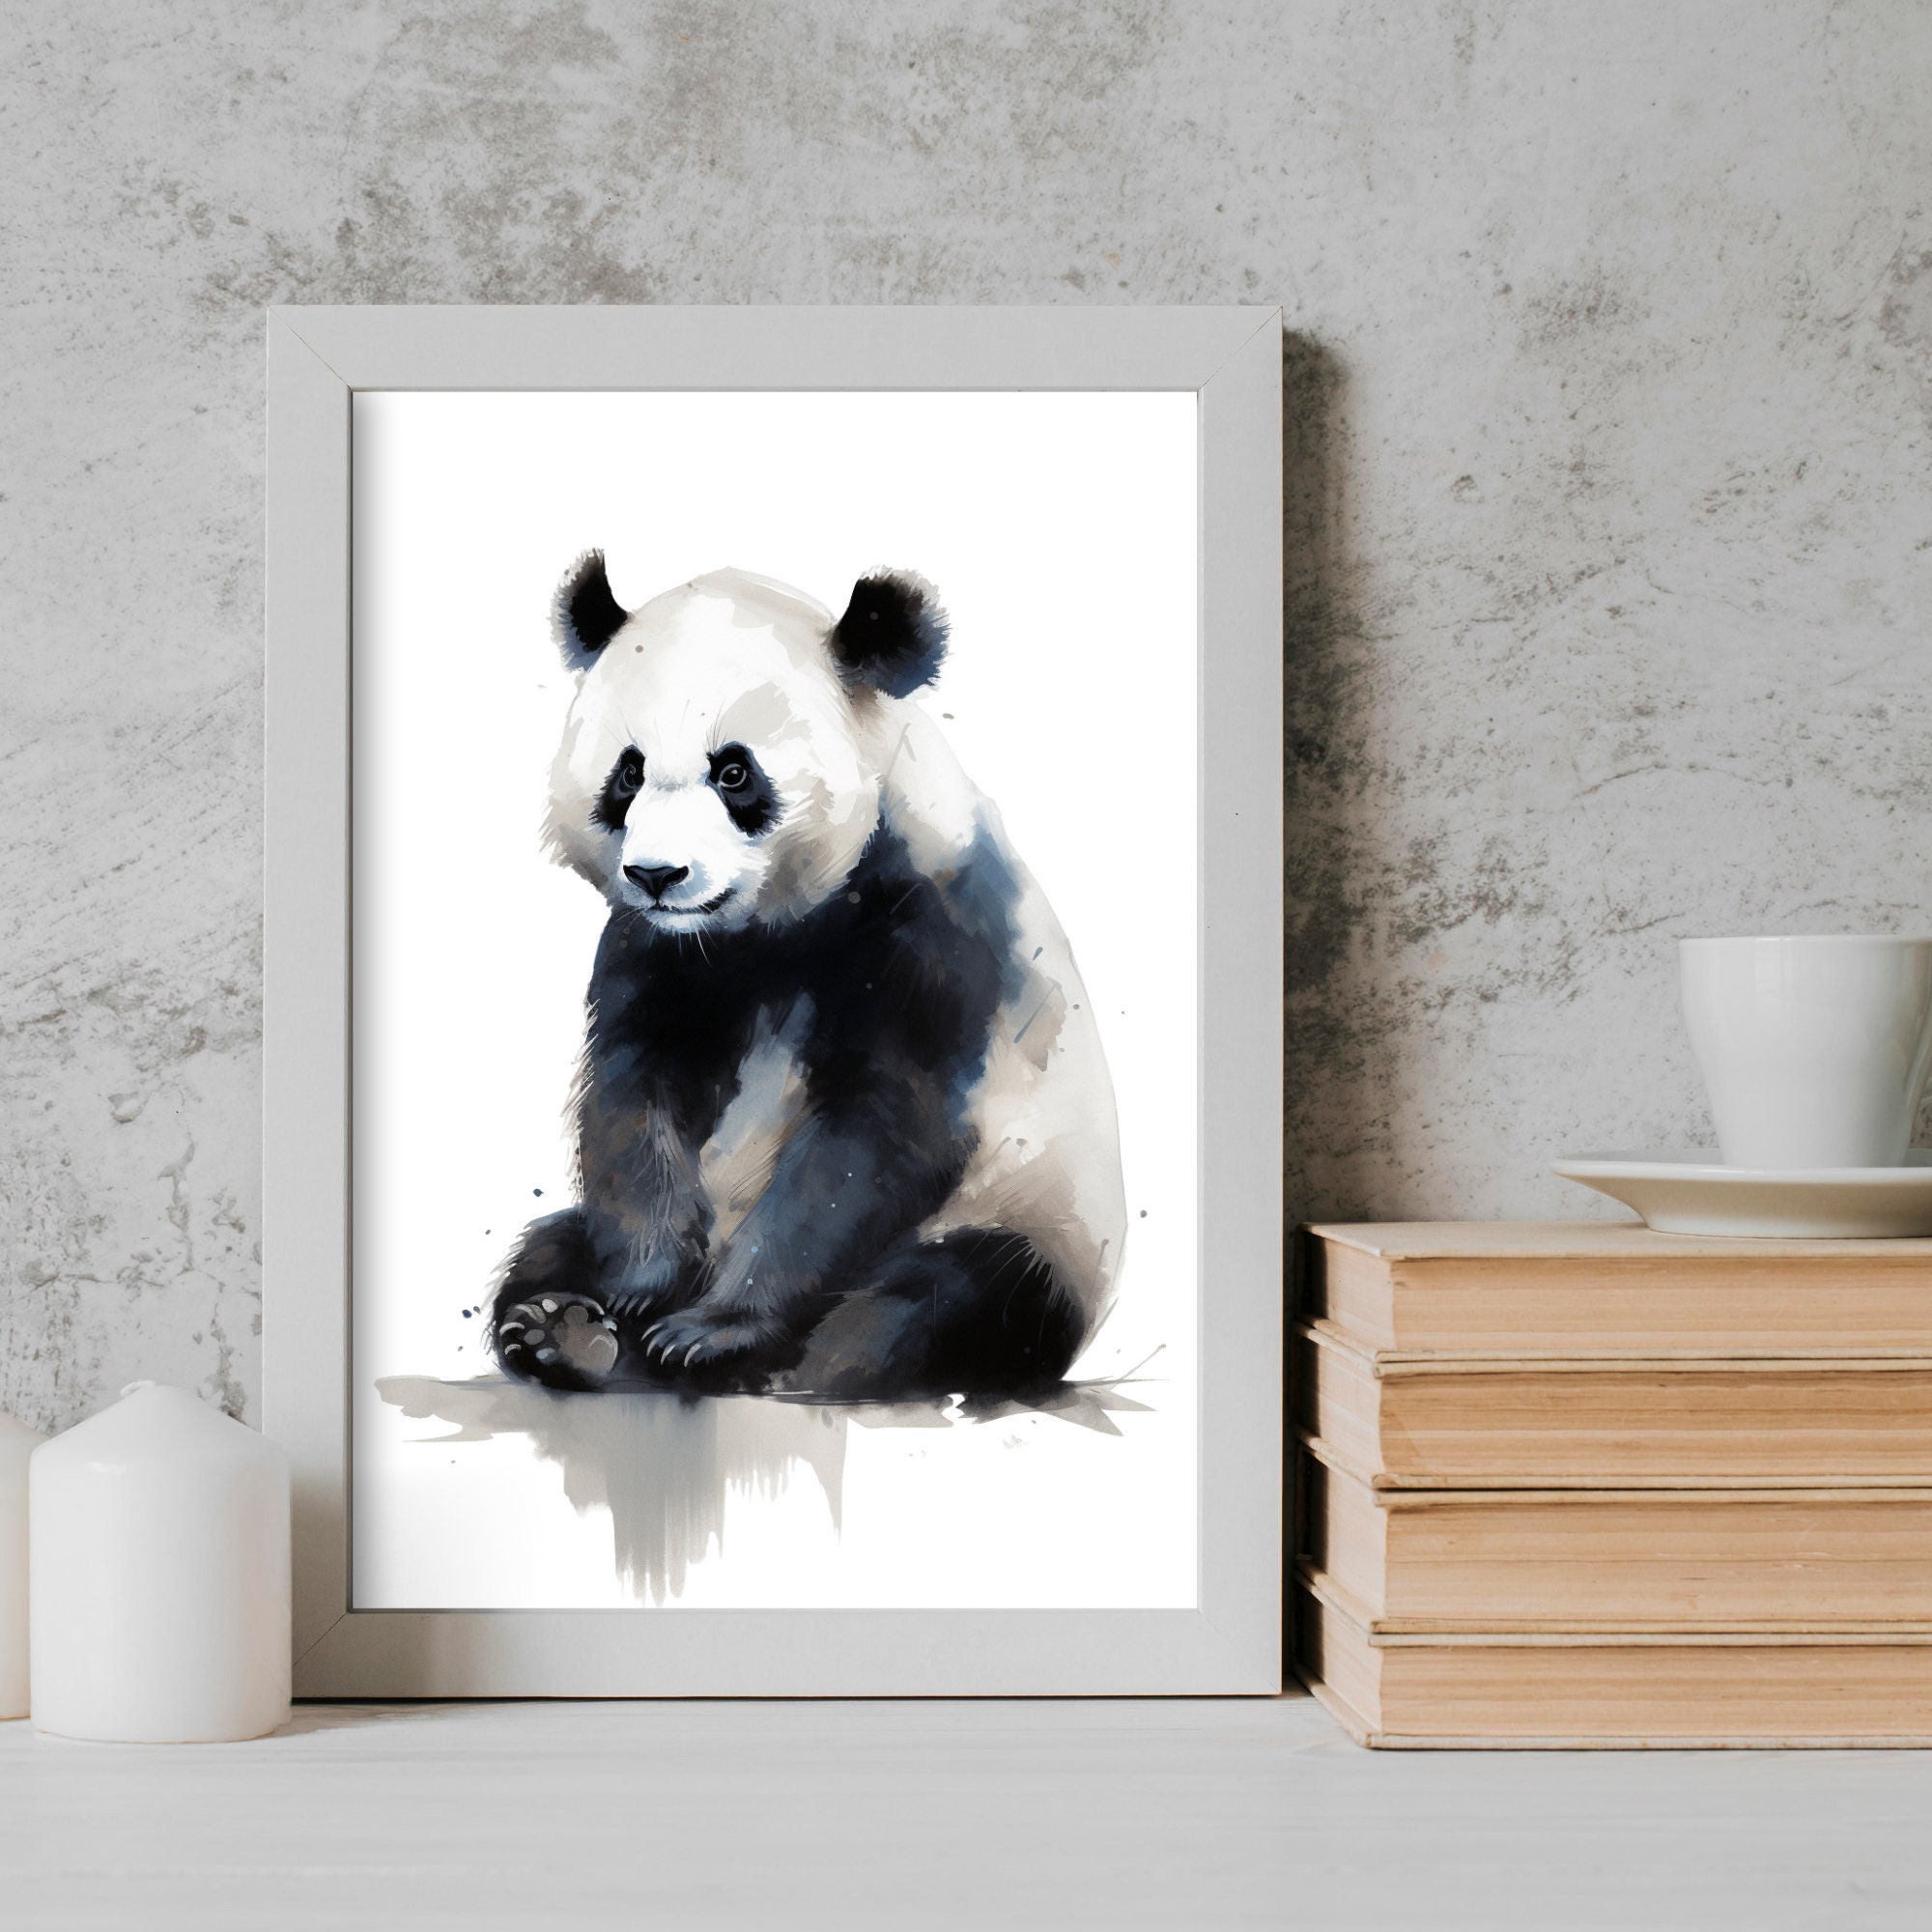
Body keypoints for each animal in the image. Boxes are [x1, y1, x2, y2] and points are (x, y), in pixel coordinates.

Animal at [488, 555, 1127, 1403]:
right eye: (628, 773)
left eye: (733, 772)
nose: (657, 874)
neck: (766, 930)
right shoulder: (657, 949)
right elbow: (633, 1091)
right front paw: (639, 1290)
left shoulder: (929, 929)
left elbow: (873, 1130)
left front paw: (714, 1331)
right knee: (548, 1244)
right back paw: (563, 1331)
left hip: (1040, 1216)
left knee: (956, 1299)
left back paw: (798, 1366)